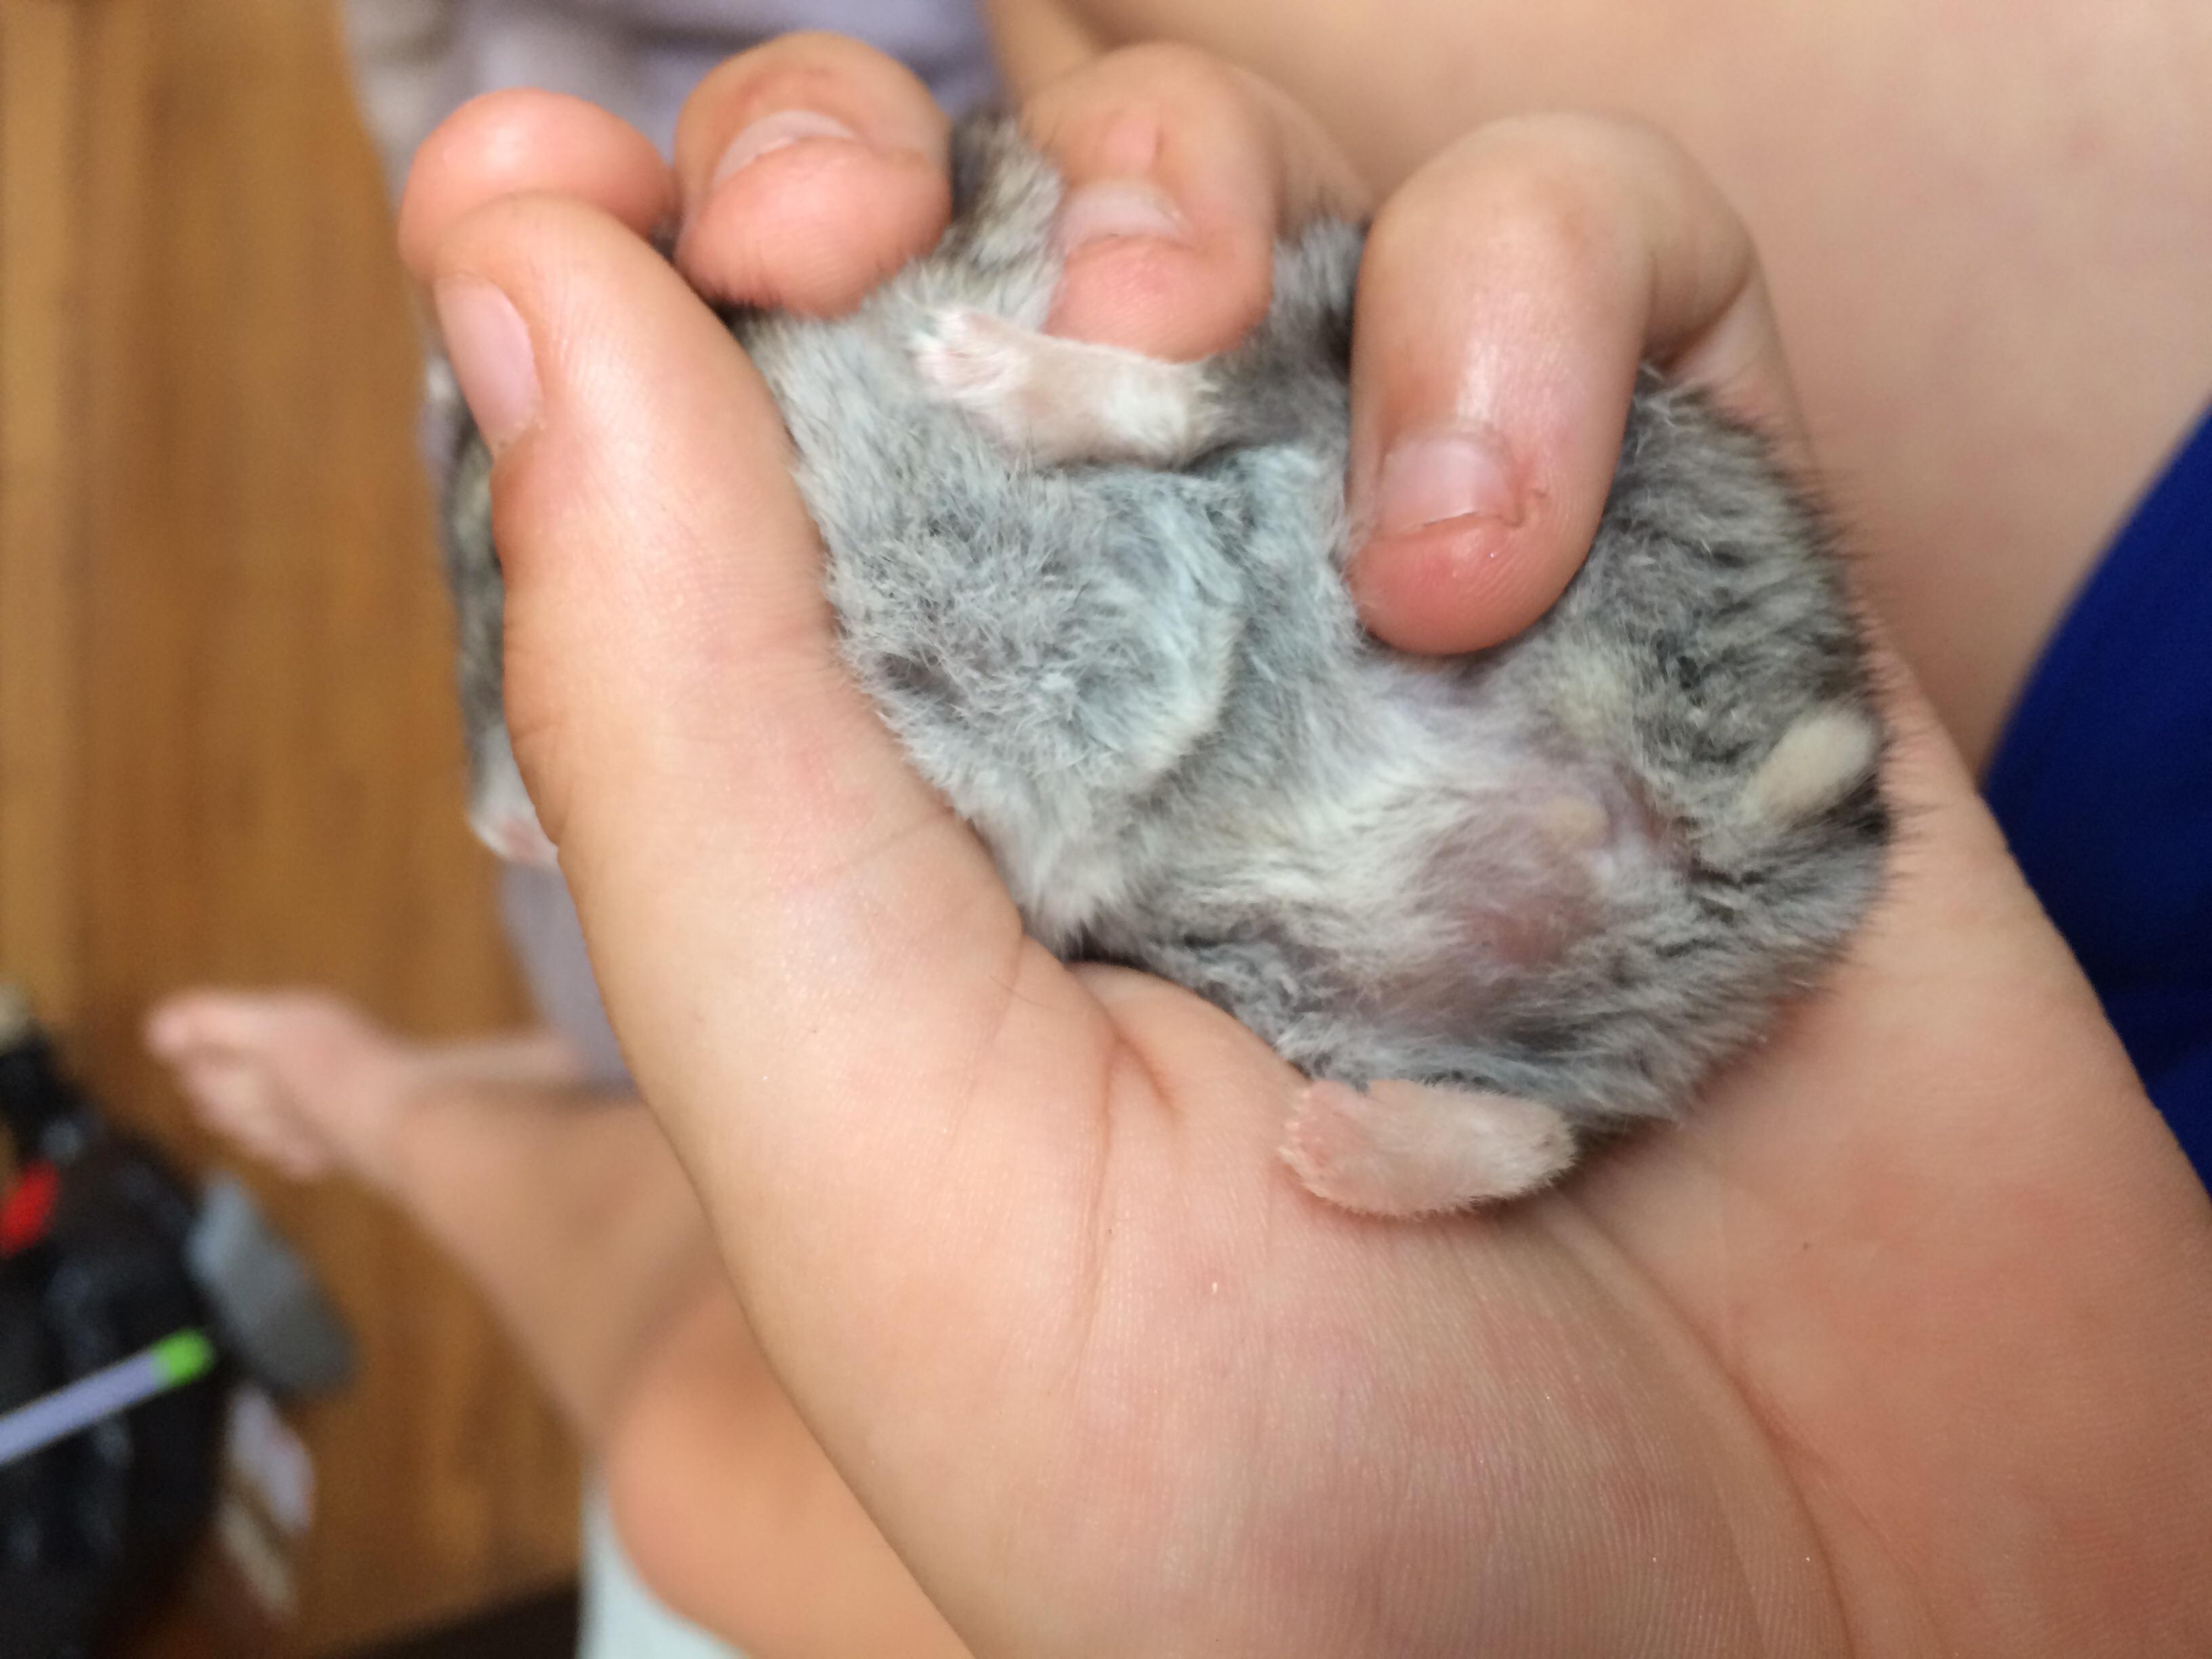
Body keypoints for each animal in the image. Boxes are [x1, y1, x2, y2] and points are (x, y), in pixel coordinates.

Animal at [439, 113, 1890, 1216]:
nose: (493, 835)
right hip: (1398, 1001)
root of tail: (1780, 808)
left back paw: (985, 374)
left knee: (1194, 402)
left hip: (1331, 353)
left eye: (493, 543)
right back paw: (1336, 1147)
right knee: (1537, 1135)